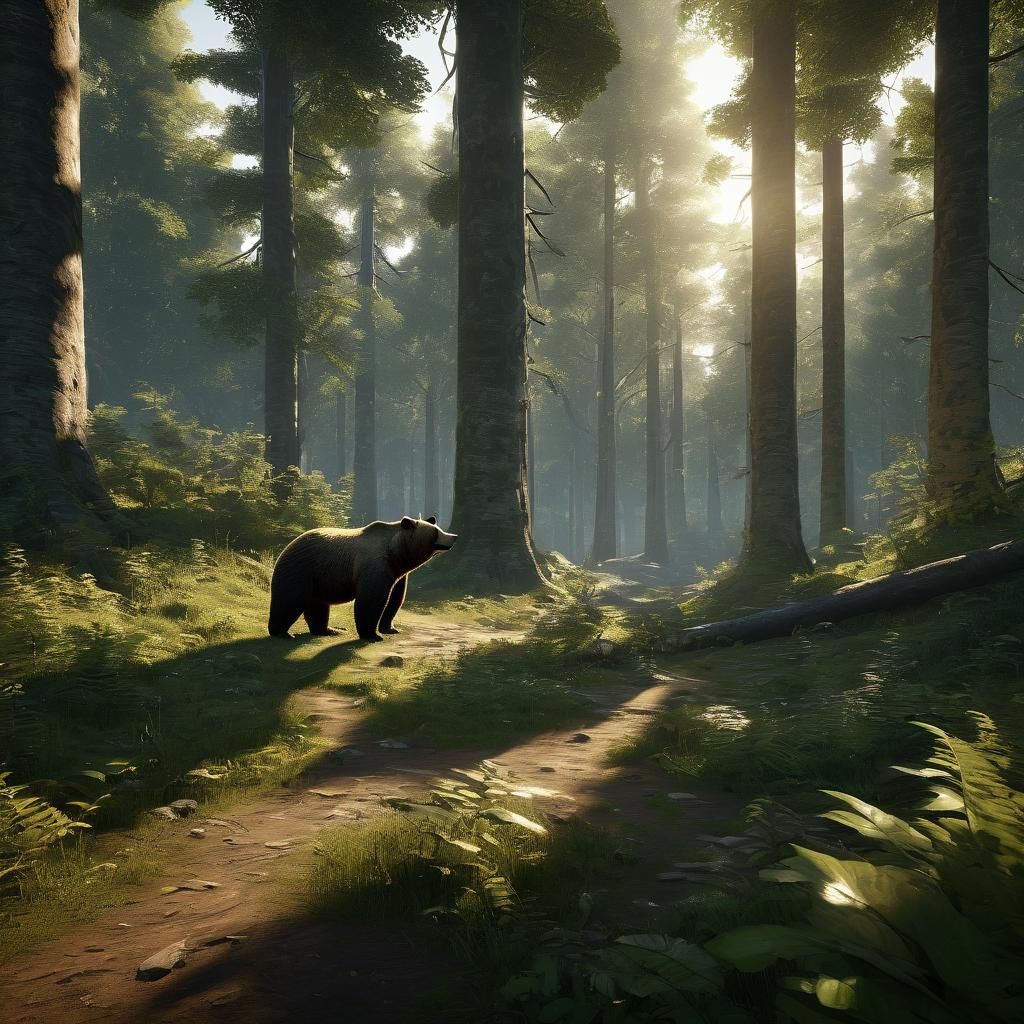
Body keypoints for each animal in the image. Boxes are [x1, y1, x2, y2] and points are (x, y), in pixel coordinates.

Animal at [267, 516, 457, 643]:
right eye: (435, 532)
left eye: (438, 528)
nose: (454, 537)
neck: (396, 553)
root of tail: (286, 548)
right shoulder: (375, 565)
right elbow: (371, 599)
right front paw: (373, 635)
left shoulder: (398, 573)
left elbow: (395, 599)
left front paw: (389, 628)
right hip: (301, 569)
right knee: (289, 600)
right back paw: (282, 632)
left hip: (318, 578)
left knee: (318, 605)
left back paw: (330, 629)